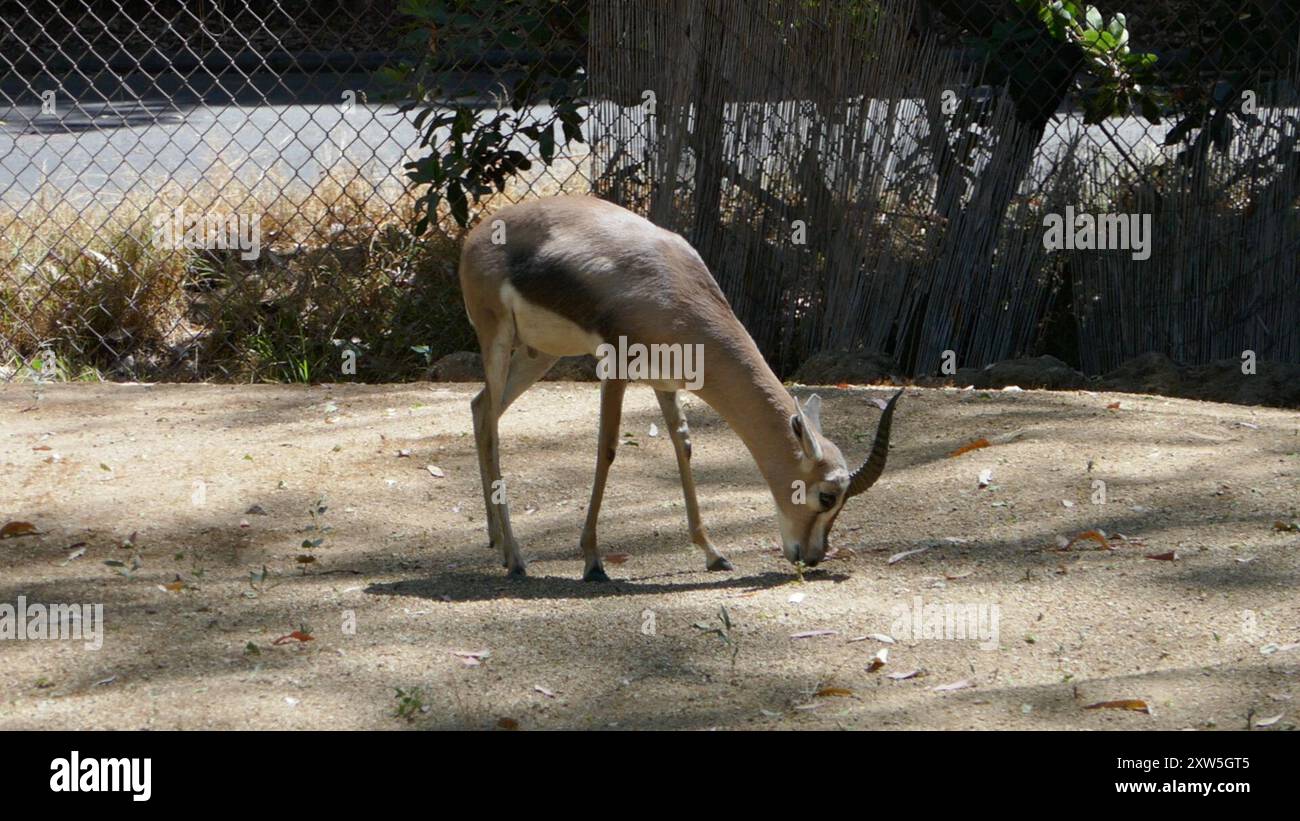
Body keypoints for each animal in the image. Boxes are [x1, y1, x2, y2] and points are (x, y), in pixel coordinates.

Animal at [458, 195, 902, 580]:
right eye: (827, 496)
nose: (812, 556)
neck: (674, 290)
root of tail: (476, 233)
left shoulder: (665, 380)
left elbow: (683, 445)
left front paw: (714, 553)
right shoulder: (615, 368)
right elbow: (607, 449)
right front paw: (593, 561)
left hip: (540, 354)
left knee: (480, 409)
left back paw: (498, 544)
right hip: (498, 339)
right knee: (493, 429)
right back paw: (516, 559)